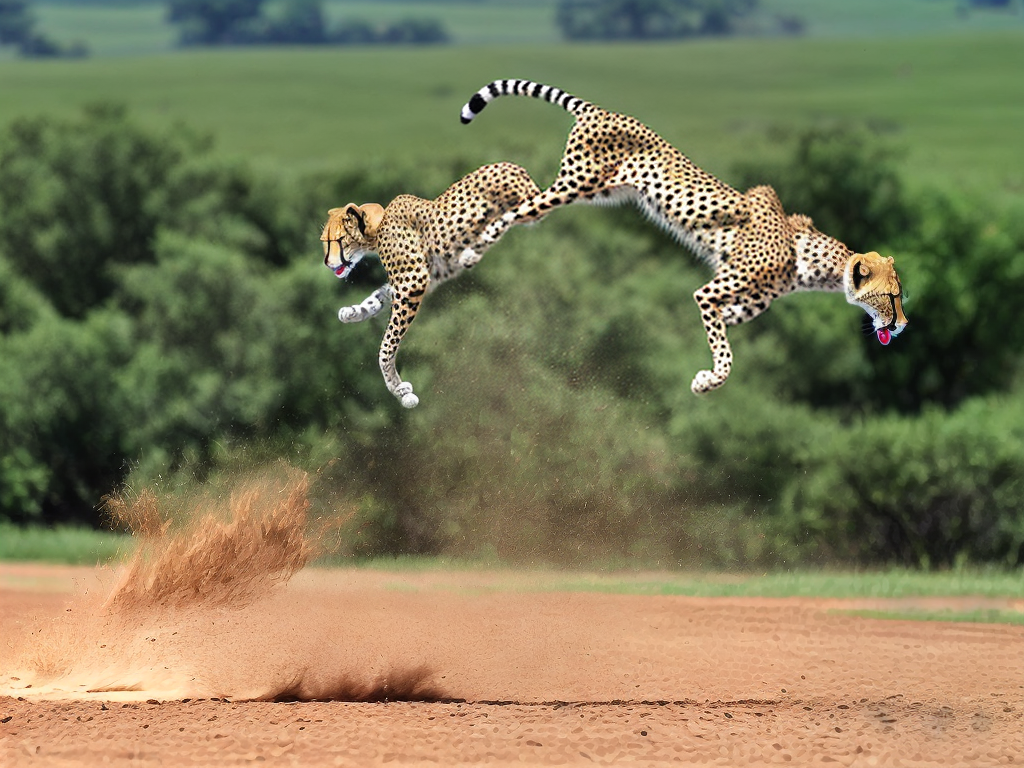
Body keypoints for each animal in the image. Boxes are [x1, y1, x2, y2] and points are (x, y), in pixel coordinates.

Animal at [322, 161, 541, 408]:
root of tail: (515, 167)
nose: (326, 262)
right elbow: (376, 298)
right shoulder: (418, 278)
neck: (376, 229)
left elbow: (386, 345)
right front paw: (352, 312)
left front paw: (398, 387)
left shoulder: (413, 280)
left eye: (337, 240)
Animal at [458, 79, 908, 394]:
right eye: (892, 295)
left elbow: (734, 320)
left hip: (596, 191)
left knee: (526, 208)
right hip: (575, 183)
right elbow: (726, 353)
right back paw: (468, 252)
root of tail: (601, 109)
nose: (900, 325)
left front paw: (713, 359)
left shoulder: (741, 296)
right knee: (518, 210)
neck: (815, 264)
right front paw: (710, 379)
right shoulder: (710, 290)